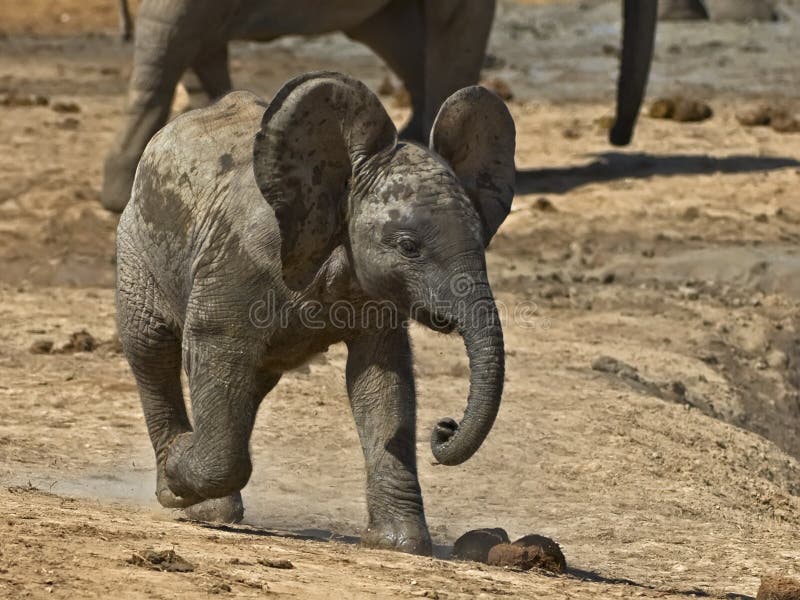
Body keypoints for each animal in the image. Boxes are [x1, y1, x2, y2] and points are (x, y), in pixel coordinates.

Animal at [101, 0, 656, 213]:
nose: (618, 136)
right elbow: (453, 22)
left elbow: (408, 35)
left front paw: (413, 142)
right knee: (174, 38)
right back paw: (118, 196)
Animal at [117, 72, 520, 556]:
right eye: (408, 247)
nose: (444, 427)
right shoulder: (237, 261)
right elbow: (217, 348)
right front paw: (182, 464)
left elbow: (382, 380)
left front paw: (398, 543)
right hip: (137, 242)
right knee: (151, 347)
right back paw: (187, 495)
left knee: (249, 383)